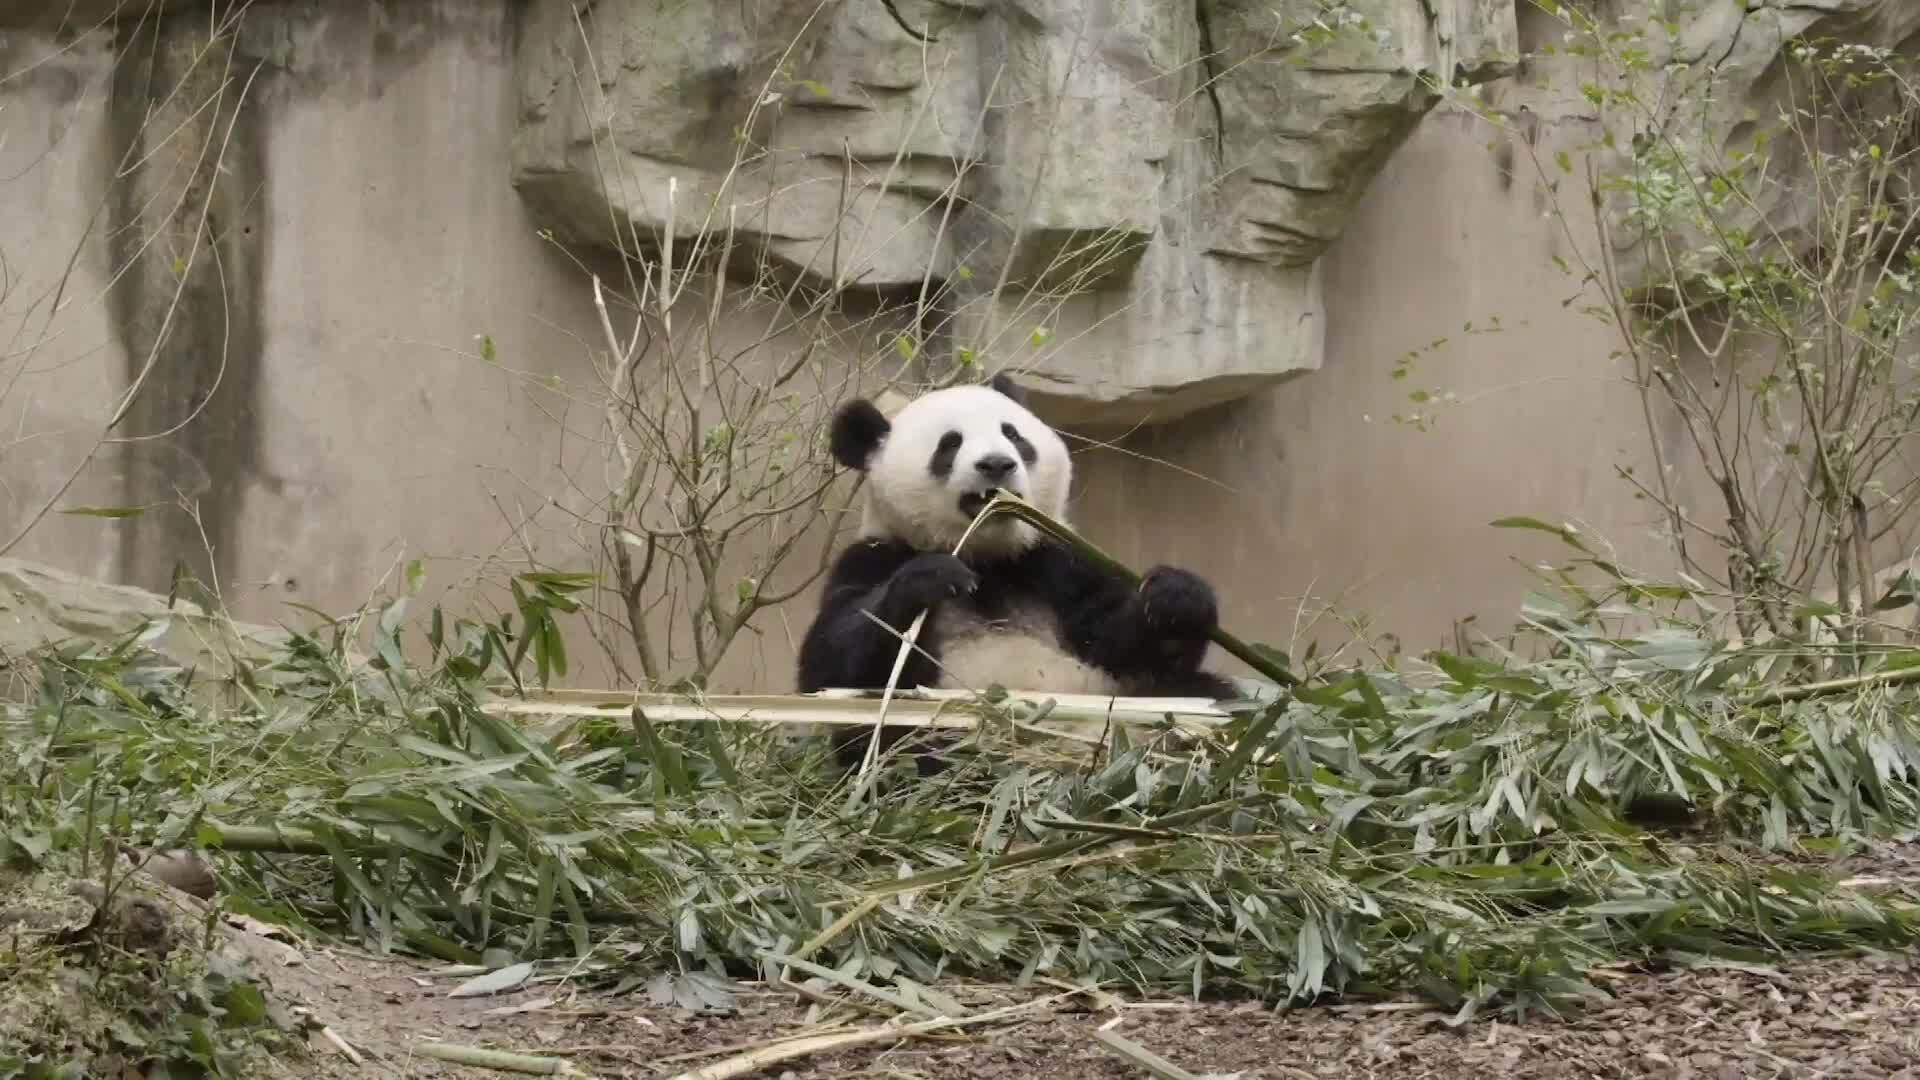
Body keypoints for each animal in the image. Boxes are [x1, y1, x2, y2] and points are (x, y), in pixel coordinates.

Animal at [797, 373, 1237, 773]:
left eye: (1013, 434)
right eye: (950, 443)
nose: (997, 463)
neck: (988, 559)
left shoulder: (1055, 563)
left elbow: (1119, 641)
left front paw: (1175, 598)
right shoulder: (874, 558)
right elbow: (835, 671)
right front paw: (931, 578)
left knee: (1210, 696)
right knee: (905, 746)